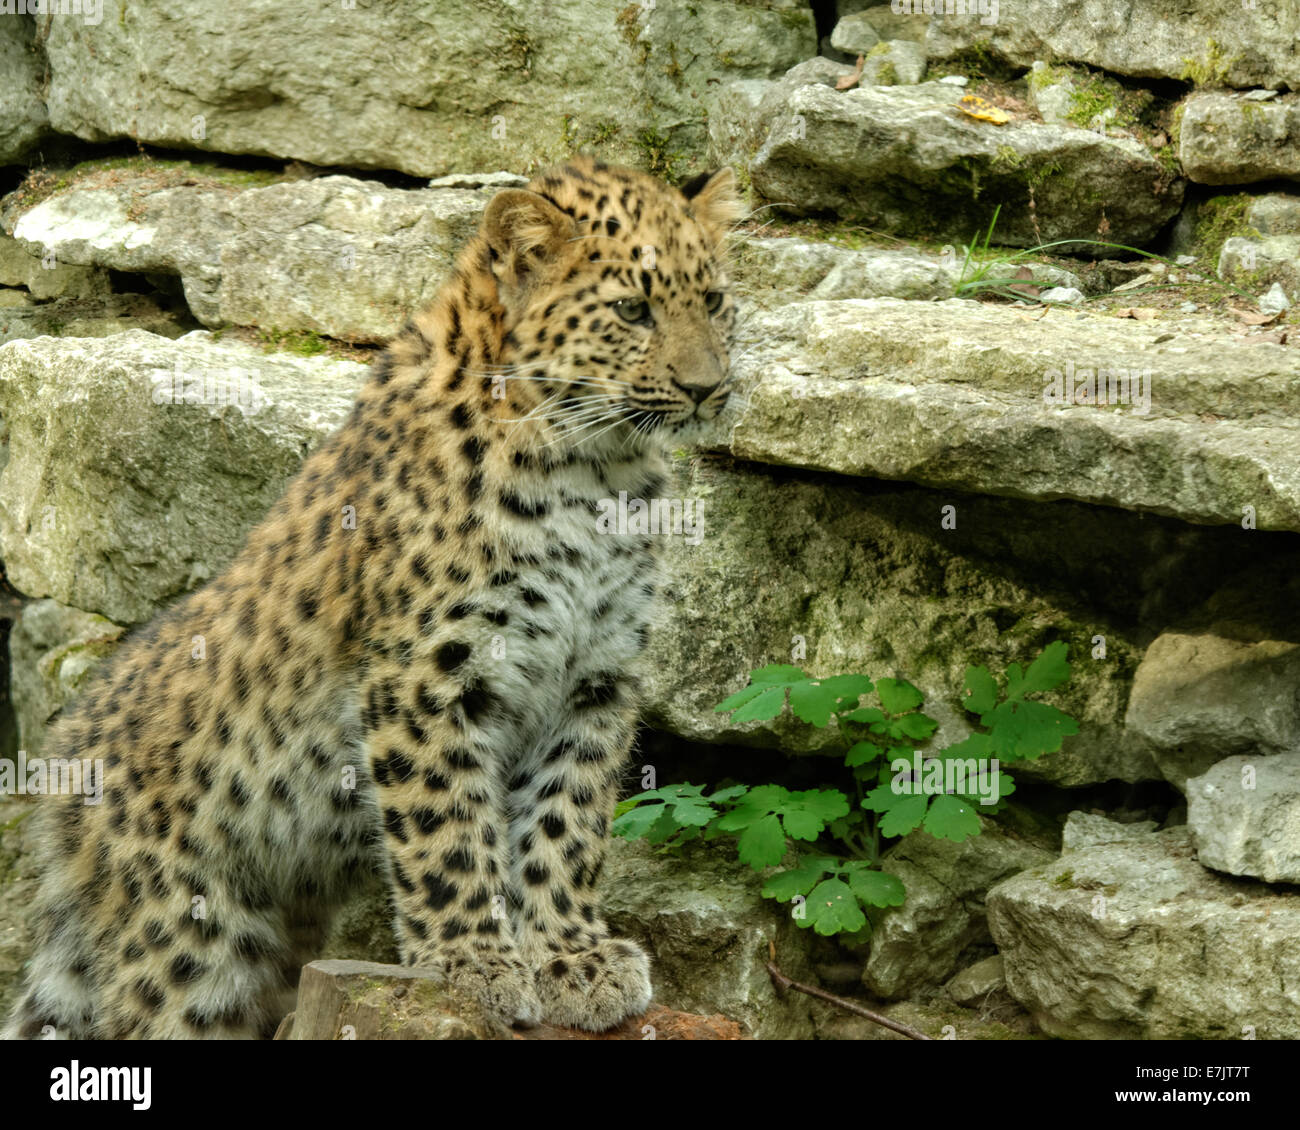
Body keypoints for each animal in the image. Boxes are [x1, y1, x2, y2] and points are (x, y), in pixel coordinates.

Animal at [3, 156, 741, 1039]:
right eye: (632, 309)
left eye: (714, 302)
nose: (707, 389)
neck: (596, 472)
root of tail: (62, 772)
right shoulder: (428, 674)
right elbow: (447, 825)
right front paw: (472, 964)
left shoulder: (595, 677)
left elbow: (568, 820)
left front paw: (573, 958)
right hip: (189, 944)